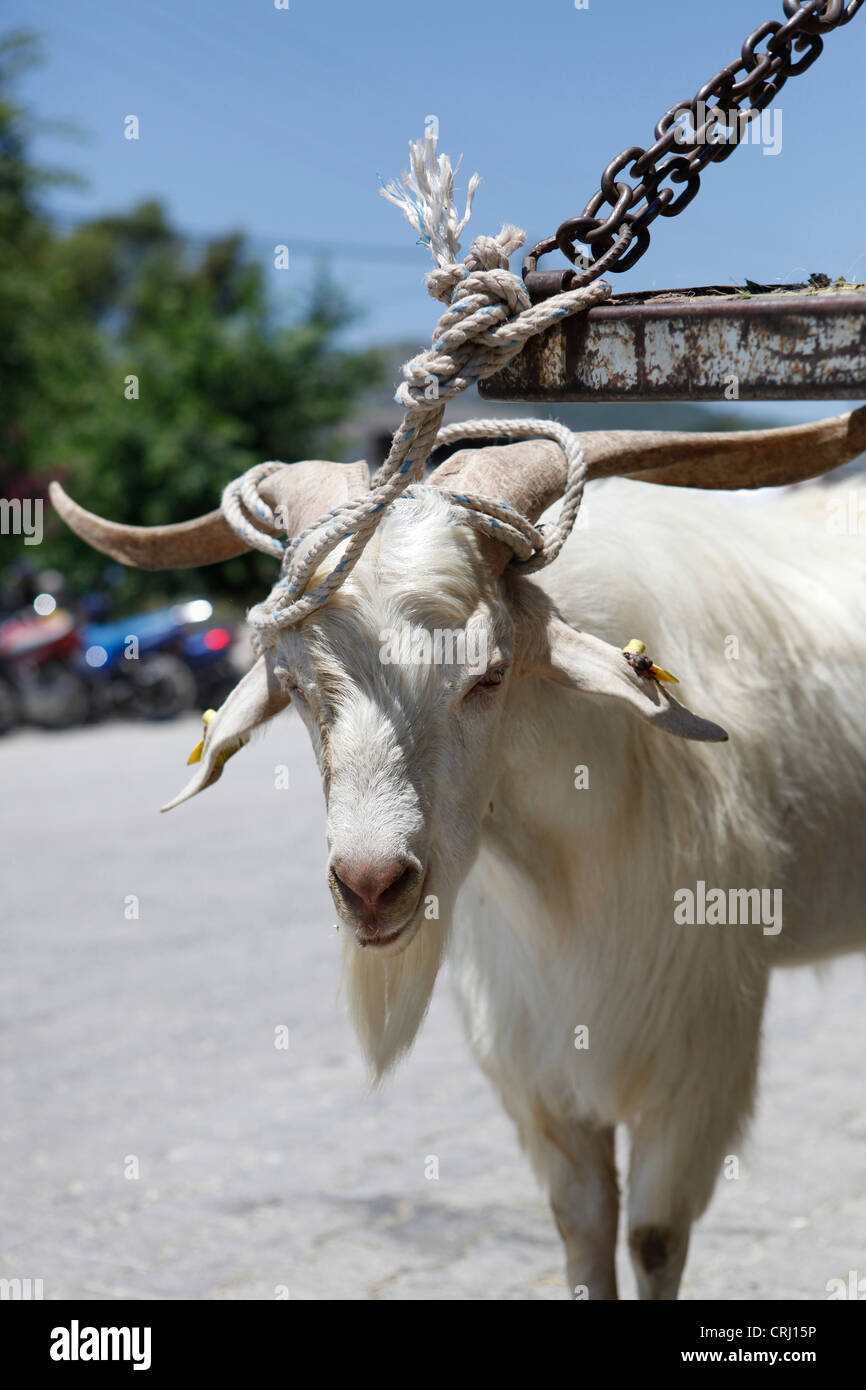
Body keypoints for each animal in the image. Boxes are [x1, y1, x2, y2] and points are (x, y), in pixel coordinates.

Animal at [51, 406, 866, 1298]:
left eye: (490, 674)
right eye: (294, 684)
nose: (372, 886)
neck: (563, 877)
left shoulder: (695, 1055)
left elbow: (653, 1239)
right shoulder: (534, 1064)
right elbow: (582, 1228)